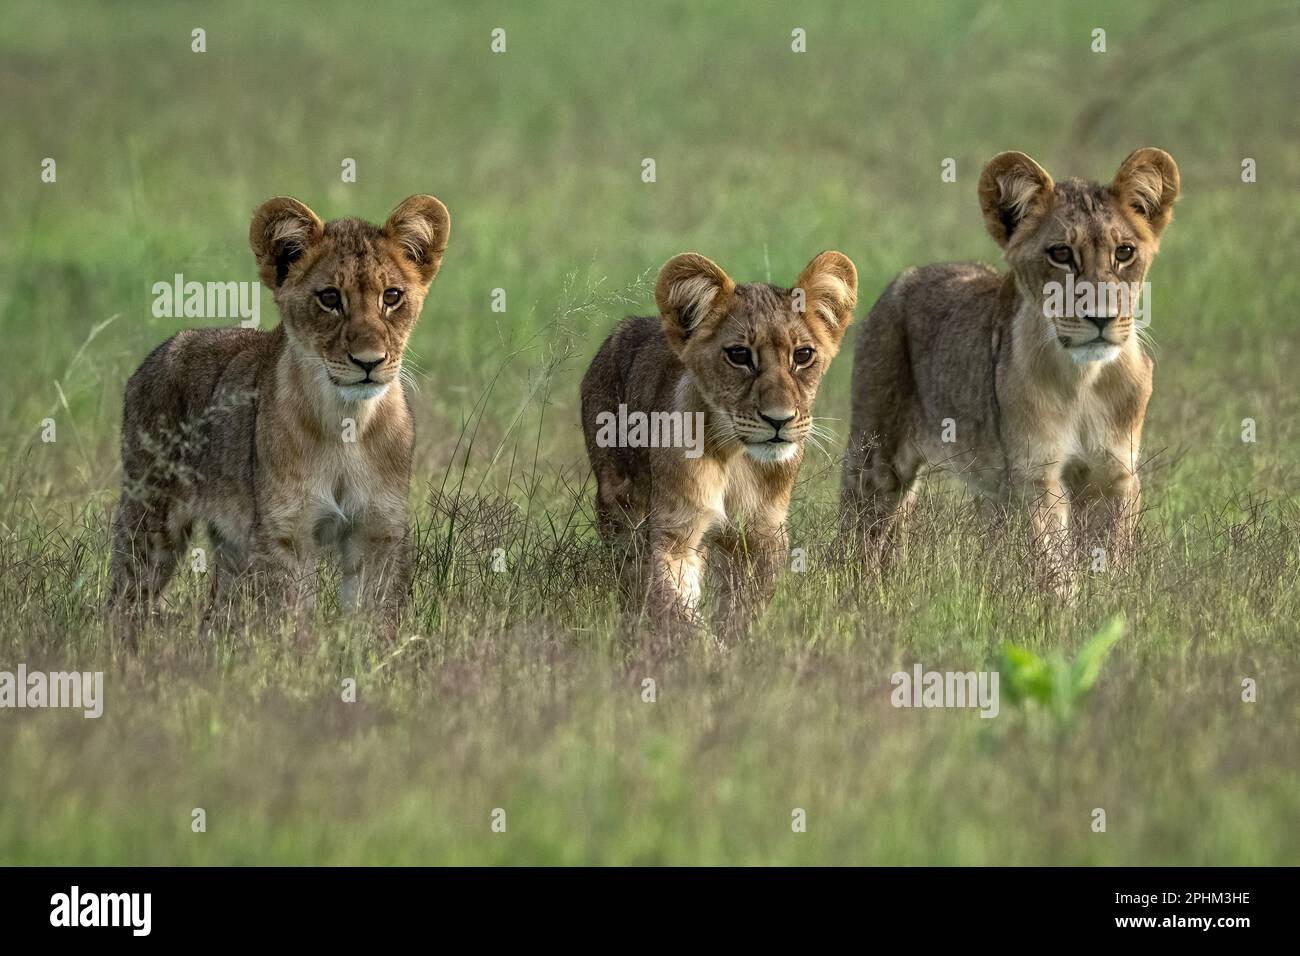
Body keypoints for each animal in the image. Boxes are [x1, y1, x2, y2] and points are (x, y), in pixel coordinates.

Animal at [108, 194, 450, 640]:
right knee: (126, 595)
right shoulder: (285, 532)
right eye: (329, 298)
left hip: (233, 542)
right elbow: (289, 616)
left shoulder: (378, 528)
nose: (369, 362)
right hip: (150, 514)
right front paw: (296, 655)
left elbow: (374, 615)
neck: (347, 422)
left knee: (219, 608)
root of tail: (159, 352)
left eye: (391, 296)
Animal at [581, 251, 858, 639]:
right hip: (618, 500)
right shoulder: (674, 532)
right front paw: (702, 649)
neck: (735, 456)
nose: (779, 420)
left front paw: (738, 644)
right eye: (739, 355)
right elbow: (677, 610)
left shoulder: (761, 533)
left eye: (803, 355)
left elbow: (746, 607)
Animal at [841, 148, 1180, 588]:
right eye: (1061, 254)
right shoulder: (1035, 477)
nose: (1101, 317)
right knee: (861, 529)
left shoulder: (1114, 474)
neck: (1083, 382)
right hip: (877, 454)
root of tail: (905, 278)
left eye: (1124, 253)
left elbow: (1109, 559)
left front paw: (1110, 601)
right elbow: (1055, 567)